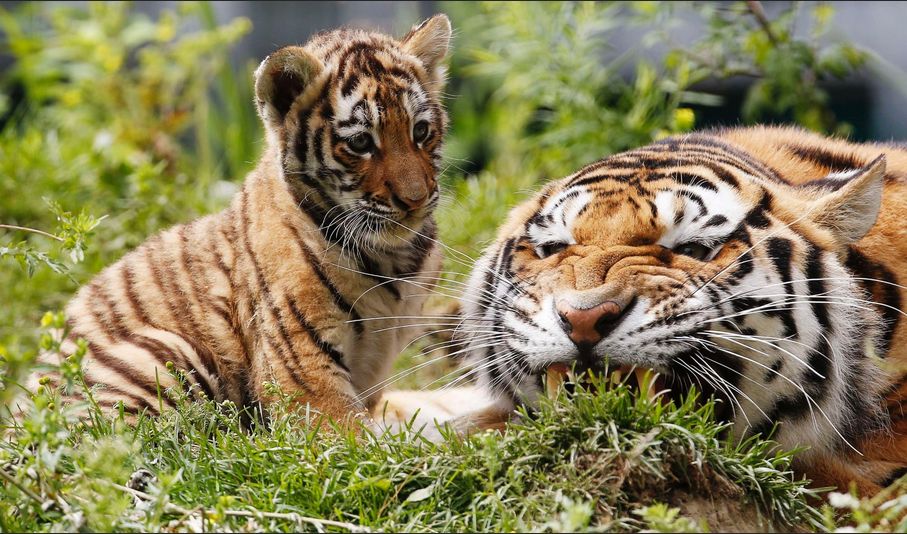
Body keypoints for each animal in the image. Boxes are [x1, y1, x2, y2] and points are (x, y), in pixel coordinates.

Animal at [26, 14, 453, 430]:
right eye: (362, 143)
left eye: (420, 131)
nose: (414, 199)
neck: (394, 258)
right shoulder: (301, 364)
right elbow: (350, 440)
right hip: (167, 354)